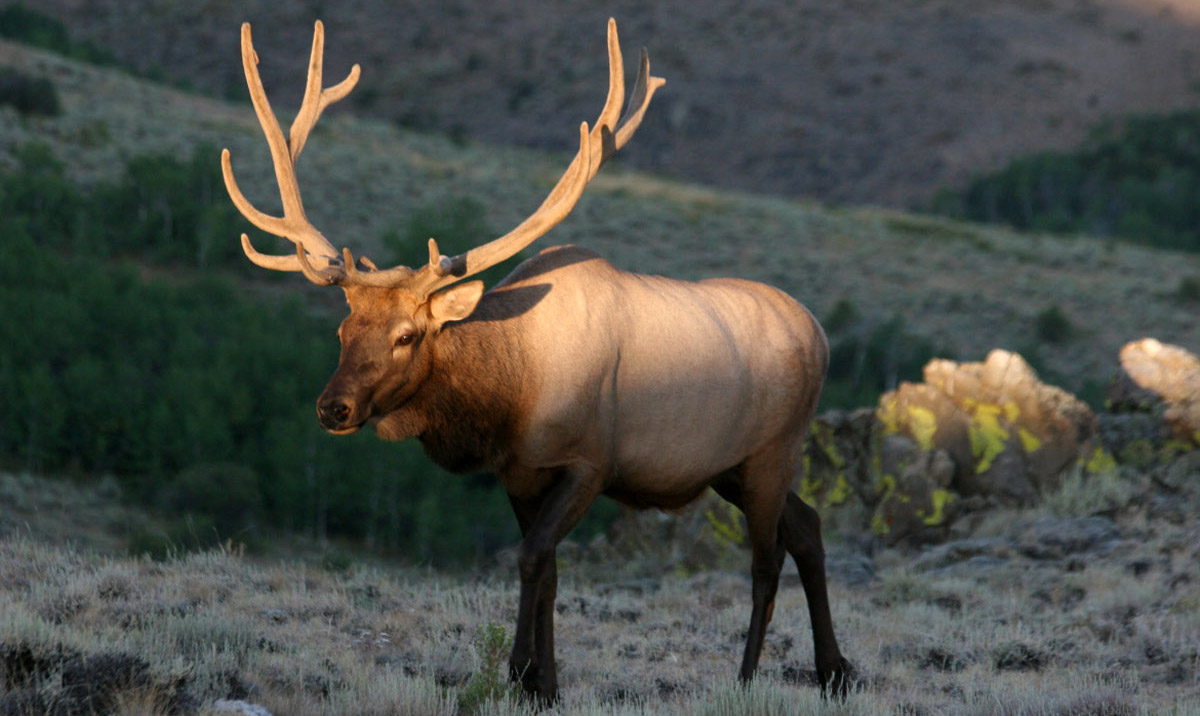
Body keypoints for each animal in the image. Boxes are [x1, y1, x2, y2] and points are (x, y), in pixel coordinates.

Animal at [221, 18, 852, 704]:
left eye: (407, 335)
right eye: (343, 328)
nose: (332, 407)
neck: (510, 394)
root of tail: (822, 334)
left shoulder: (589, 463)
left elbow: (529, 559)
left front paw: (520, 673)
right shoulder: (519, 472)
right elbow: (545, 567)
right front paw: (545, 682)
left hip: (771, 452)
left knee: (766, 560)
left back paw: (745, 679)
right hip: (730, 468)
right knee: (808, 527)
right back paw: (836, 671)